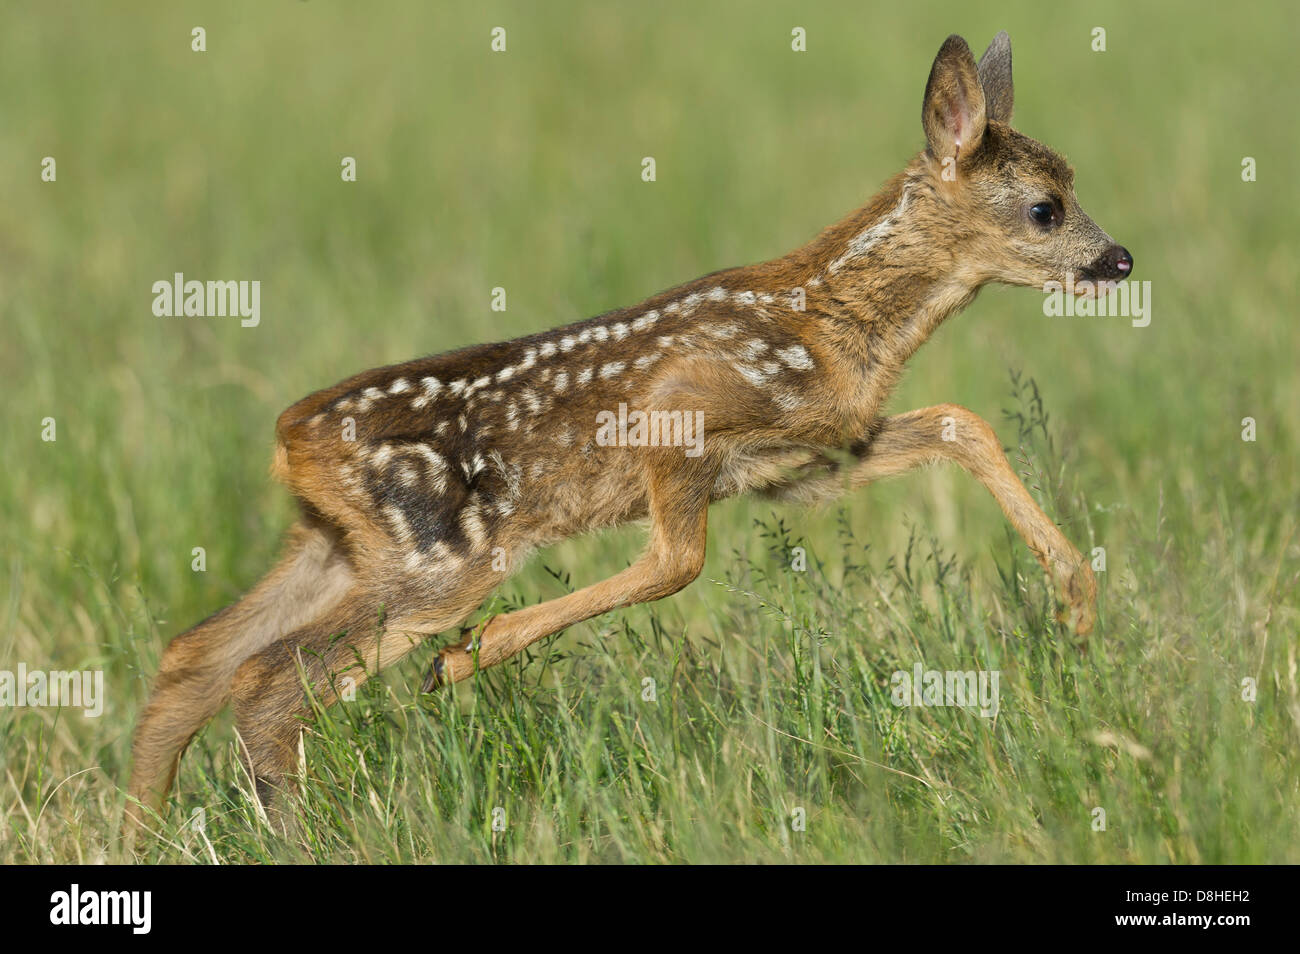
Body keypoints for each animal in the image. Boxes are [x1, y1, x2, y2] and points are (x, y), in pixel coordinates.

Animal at [126, 31, 1132, 838]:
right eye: (1044, 207)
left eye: (1074, 184)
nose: (1119, 259)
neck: (832, 322)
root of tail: (289, 439)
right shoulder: (679, 412)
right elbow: (677, 562)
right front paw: (467, 660)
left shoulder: (801, 459)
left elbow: (961, 422)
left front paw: (1078, 605)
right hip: (440, 558)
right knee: (268, 683)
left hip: (340, 547)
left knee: (196, 657)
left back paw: (140, 836)